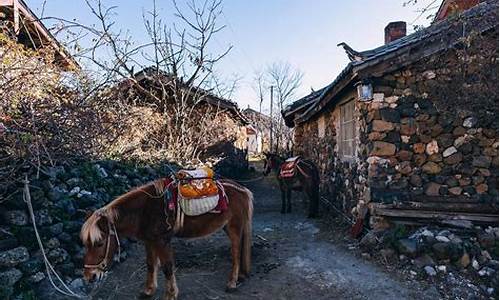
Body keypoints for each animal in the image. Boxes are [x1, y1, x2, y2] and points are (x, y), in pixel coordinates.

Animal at [82, 179, 254, 298]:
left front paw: (171, 294)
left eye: (99, 243)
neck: (144, 211)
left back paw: (232, 283)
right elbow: (151, 265)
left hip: (234, 228)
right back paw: (241, 276)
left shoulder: (162, 241)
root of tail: (243, 190)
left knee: (236, 254)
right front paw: (148, 290)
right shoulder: (149, 241)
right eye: (86, 244)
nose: (90, 277)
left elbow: (167, 267)